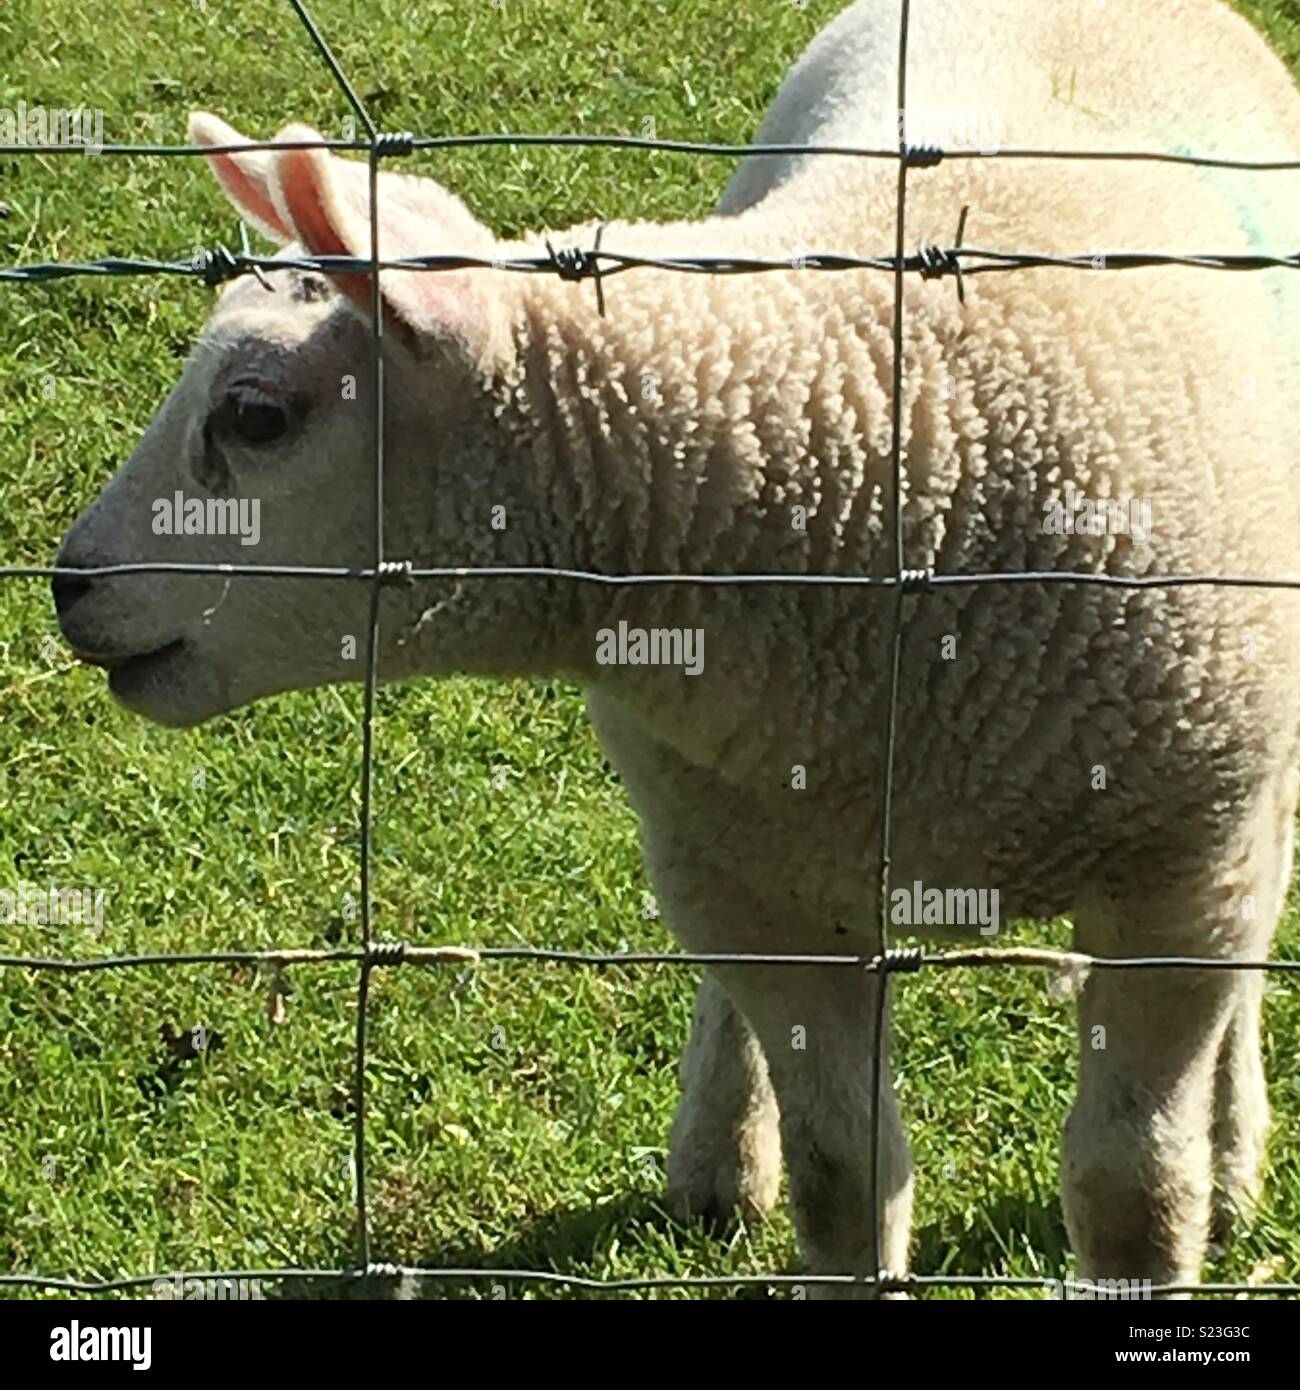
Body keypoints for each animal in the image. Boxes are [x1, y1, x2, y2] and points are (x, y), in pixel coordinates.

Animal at [52, 0, 1300, 1296]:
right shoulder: (759, 893)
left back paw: (1233, 1149)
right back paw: (717, 1157)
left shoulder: (1181, 876)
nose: (66, 585)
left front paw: (1185, 1194)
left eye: (255, 416)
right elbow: (842, 1176)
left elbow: (1131, 1193)